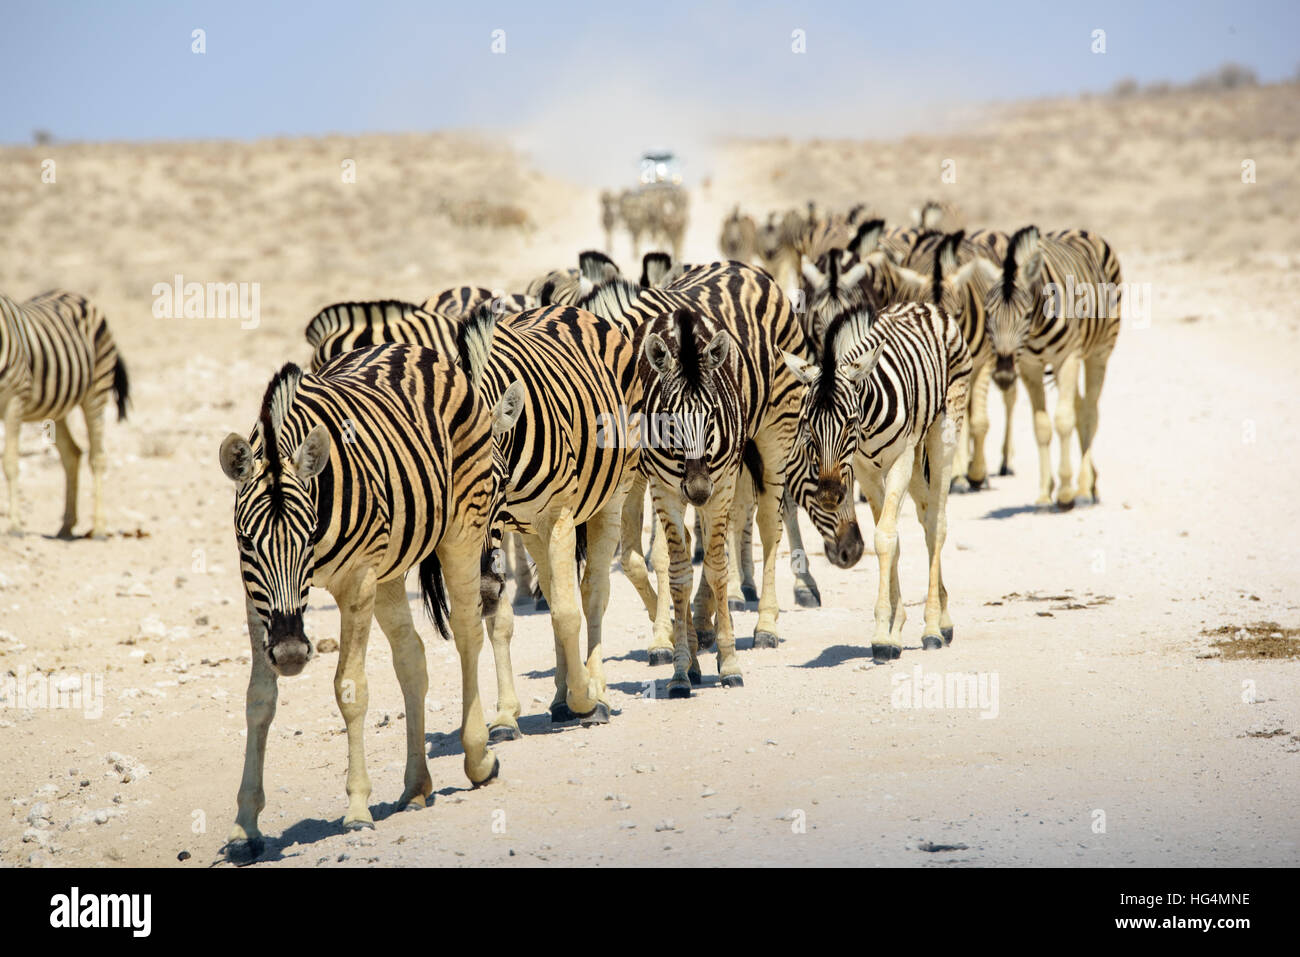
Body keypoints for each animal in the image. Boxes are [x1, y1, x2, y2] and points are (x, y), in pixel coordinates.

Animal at [0, 290, 129, 538]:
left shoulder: (14, 398)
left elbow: (10, 463)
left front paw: (15, 526)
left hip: (96, 392)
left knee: (97, 457)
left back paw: (99, 528)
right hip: (55, 407)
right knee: (72, 453)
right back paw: (67, 526)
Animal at [217, 344, 514, 860]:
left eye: (305, 538)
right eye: (249, 542)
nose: (291, 653)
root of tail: (412, 349)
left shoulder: (357, 581)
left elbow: (350, 689)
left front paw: (356, 808)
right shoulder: (255, 597)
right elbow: (259, 698)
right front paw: (245, 827)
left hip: (462, 529)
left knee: (467, 633)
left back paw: (478, 756)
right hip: (390, 568)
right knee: (412, 656)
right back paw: (416, 786)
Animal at [453, 302, 640, 738]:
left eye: (496, 483)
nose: (481, 588)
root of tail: (567, 307)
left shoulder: (558, 515)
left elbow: (568, 612)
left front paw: (586, 697)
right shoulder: (511, 525)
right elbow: (502, 620)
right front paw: (506, 714)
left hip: (613, 495)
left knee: (593, 592)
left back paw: (596, 689)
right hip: (532, 529)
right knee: (555, 594)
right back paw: (559, 697)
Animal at [784, 302, 971, 663]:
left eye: (849, 422)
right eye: (807, 425)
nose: (829, 495)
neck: (867, 423)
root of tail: (924, 306)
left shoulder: (900, 459)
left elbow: (885, 537)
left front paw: (884, 635)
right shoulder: (866, 471)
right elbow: (891, 540)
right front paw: (893, 630)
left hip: (943, 431)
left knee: (937, 524)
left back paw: (934, 628)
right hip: (916, 459)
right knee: (926, 518)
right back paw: (942, 619)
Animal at [985, 225, 1122, 508]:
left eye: (1025, 314)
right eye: (988, 314)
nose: (1003, 375)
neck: (1036, 326)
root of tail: (1081, 230)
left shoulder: (1068, 359)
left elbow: (1063, 420)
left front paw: (1067, 491)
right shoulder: (1029, 368)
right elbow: (1042, 427)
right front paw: (1045, 495)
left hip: (1099, 351)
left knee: (1090, 411)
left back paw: (1084, 489)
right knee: (1080, 407)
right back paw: (1091, 482)